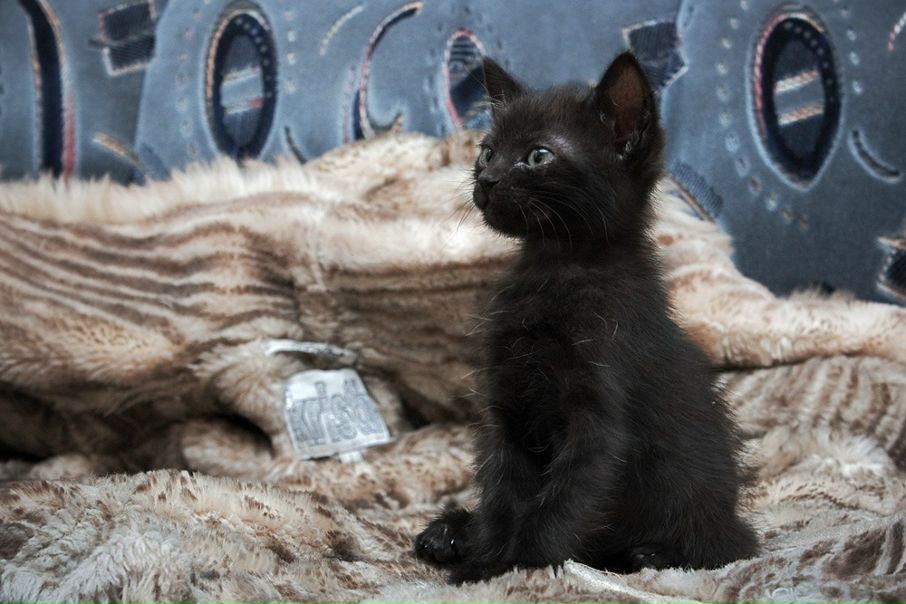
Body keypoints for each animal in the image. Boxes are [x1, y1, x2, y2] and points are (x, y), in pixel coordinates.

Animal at [414, 52, 758, 584]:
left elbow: (562, 501)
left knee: (721, 547)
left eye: (538, 156)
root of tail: (731, 519)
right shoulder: (506, 406)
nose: (485, 182)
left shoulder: (599, 417)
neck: (555, 271)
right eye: (488, 152)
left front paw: (510, 565)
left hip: (697, 508)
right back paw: (450, 533)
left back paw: (654, 553)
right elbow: (504, 491)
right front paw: (486, 552)